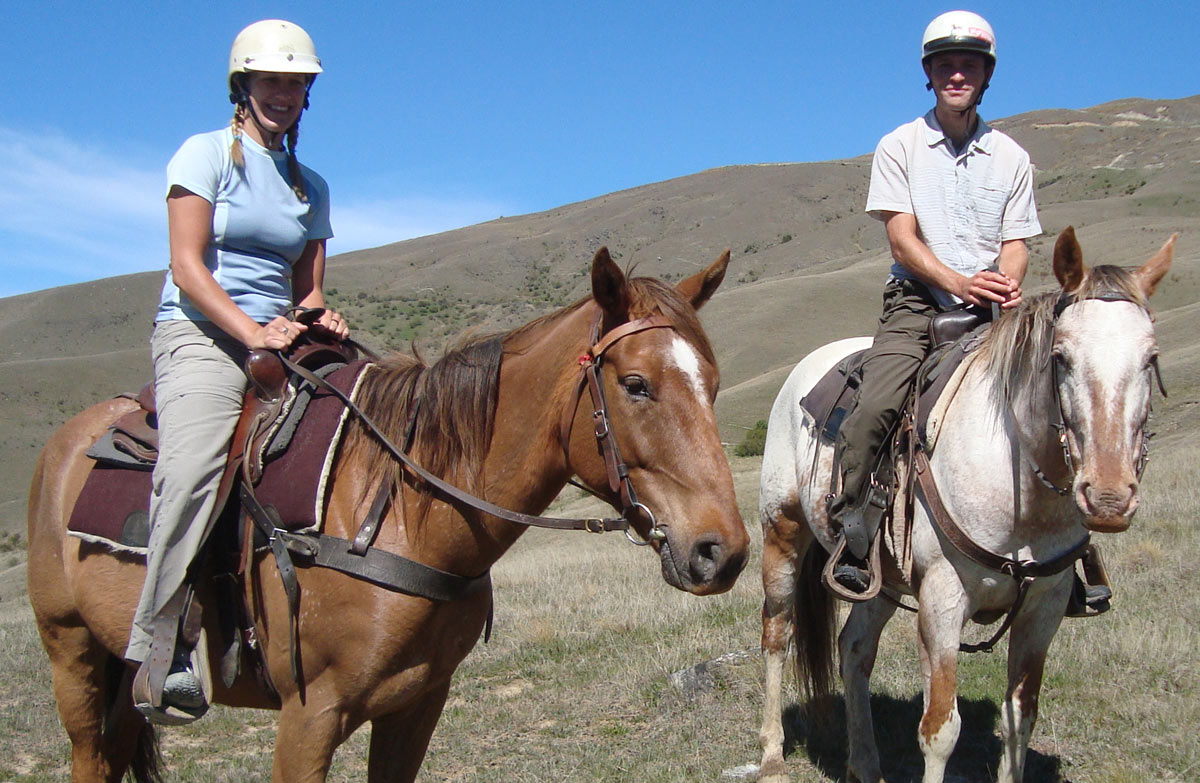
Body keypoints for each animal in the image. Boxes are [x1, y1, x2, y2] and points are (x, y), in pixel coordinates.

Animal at [26, 246, 750, 783]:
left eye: (714, 383)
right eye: (636, 385)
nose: (722, 551)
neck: (405, 514)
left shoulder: (416, 703)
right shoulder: (309, 716)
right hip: (72, 653)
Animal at [755, 227, 1177, 783]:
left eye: (1150, 358)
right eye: (1060, 356)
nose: (1108, 497)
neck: (1022, 498)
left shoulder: (1043, 608)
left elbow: (1021, 716)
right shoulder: (942, 601)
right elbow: (940, 728)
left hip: (878, 575)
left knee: (854, 649)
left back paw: (864, 764)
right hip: (781, 532)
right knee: (777, 634)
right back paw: (771, 754)